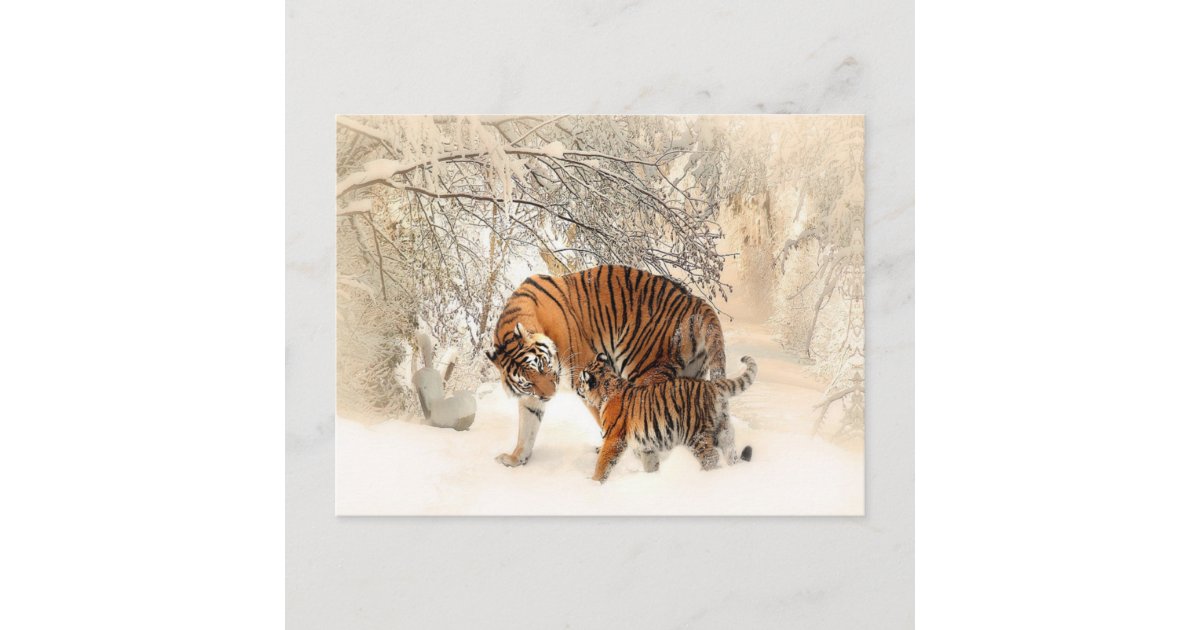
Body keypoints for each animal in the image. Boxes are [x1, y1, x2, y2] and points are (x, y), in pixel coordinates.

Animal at [486, 265, 728, 467]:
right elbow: (527, 427)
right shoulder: (531, 397)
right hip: (690, 375)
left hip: (645, 369)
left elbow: (605, 420)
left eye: (543, 366)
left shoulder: (585, 376)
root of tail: (695, 301)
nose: (550, 395)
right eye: (527, 383)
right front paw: (515, 459)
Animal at [576, 354, 757, 483]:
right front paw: (651, 478)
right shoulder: (646, 445)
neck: (607, 390)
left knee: (711, 458)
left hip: (695, 435)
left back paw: (704, 476)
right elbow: (650, 463)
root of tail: (711, 385)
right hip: (724, 430)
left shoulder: (613, 439)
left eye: (580, 380)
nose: (577, 388)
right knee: (730, 452)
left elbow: (602, 462)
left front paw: (594, 483)